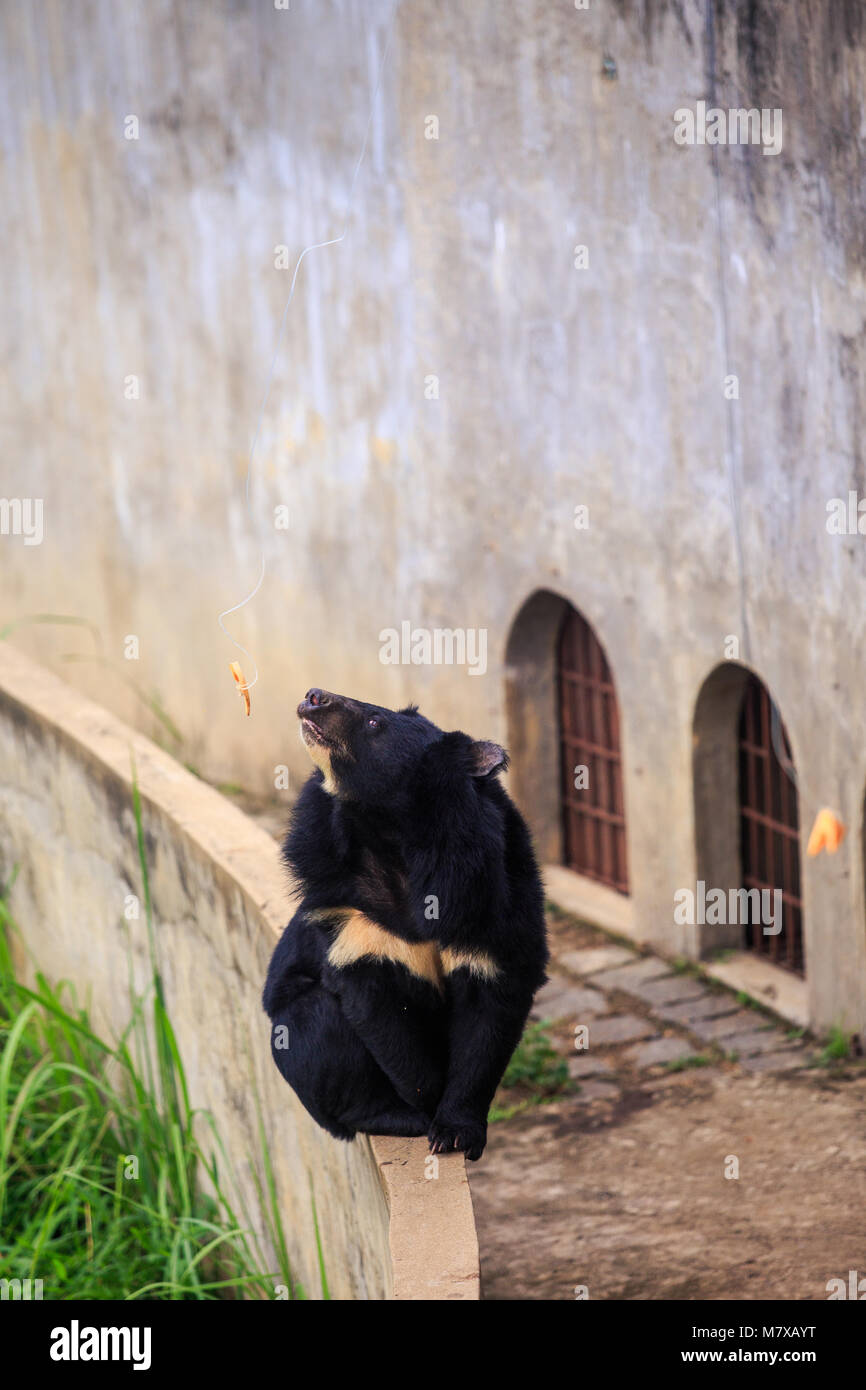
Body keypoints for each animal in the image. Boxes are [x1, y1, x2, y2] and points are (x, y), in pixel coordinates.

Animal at [262, 687, 548, 1161]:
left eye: (375, 723)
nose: (313, 696)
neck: (392, 837)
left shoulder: (494, 903)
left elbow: (488, 1014)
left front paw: (456, 1133)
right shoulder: (350, 917)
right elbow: (382, 1016)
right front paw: (427, 1112)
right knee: (315, 1026)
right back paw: (397, 1118)